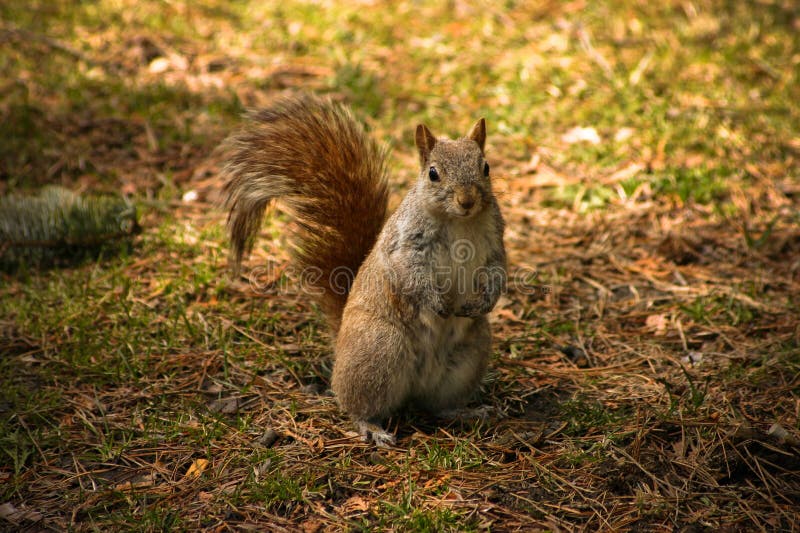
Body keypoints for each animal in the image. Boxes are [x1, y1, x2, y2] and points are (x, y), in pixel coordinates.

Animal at [220, 93, 506, 446]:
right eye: (433, 174)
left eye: (486, 167)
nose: (467, 200)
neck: (459, 221)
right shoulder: (404, 244)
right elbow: (409, 272)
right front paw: (436, 303)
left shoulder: (494, 241)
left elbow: (497, 269)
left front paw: (484, 301)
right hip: (379, 348)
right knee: (357, 405)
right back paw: (371, 427)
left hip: (469, 353)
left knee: (437, 406)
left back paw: (467, 411)